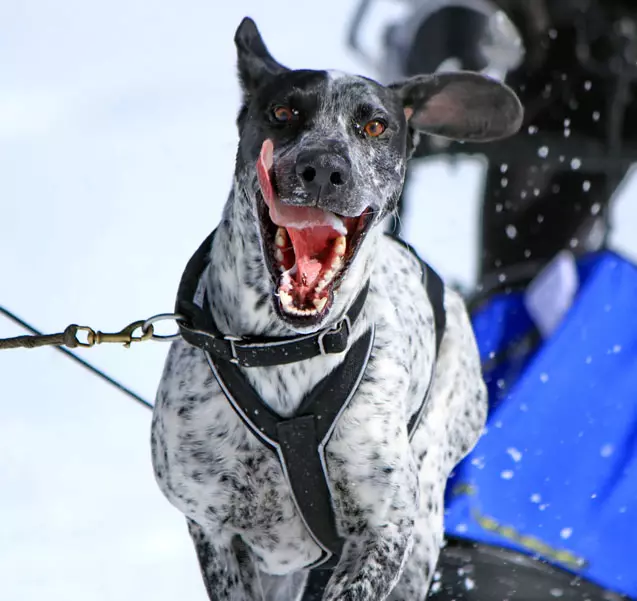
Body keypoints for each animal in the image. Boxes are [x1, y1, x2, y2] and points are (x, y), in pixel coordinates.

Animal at [152, 15, 524, 600]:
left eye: (374, 126)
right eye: (283, 113)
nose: (323, 168)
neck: (284, 349)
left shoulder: (384, 532)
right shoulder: (214, 529)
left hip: (426, 513)